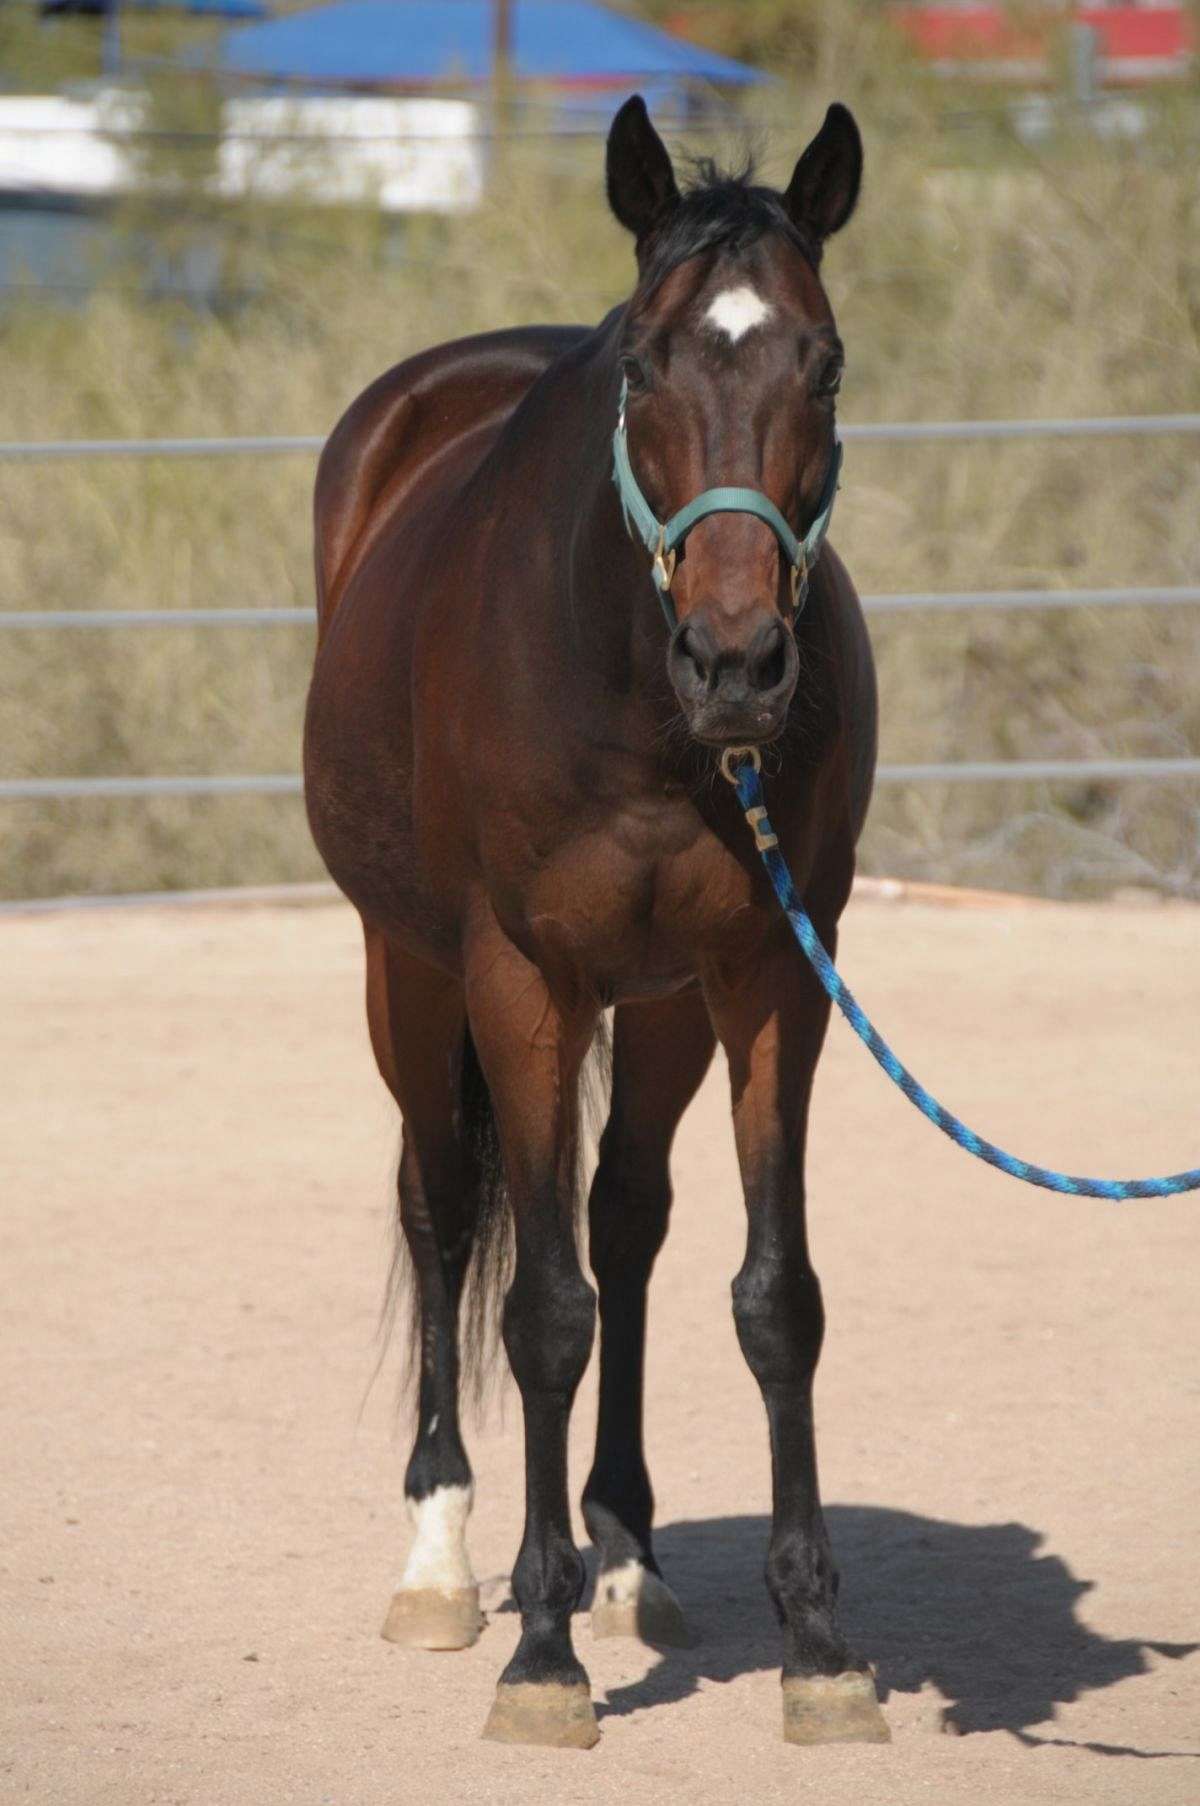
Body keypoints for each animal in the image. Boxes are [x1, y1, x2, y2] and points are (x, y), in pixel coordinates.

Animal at [304, 94, 883, 1750]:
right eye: (645, 367)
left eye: (824, 363)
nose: (739, 662)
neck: (631, 687)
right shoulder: (520, 979)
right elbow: (541, 1307)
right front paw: (543, 1652)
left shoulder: (773, 977)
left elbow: (773, 1297)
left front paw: (817, 1644)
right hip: (409, 971)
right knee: (446, 1211)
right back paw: (445, 1556)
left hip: (666, 1000)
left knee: (626, 1216)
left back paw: (624, 1548)